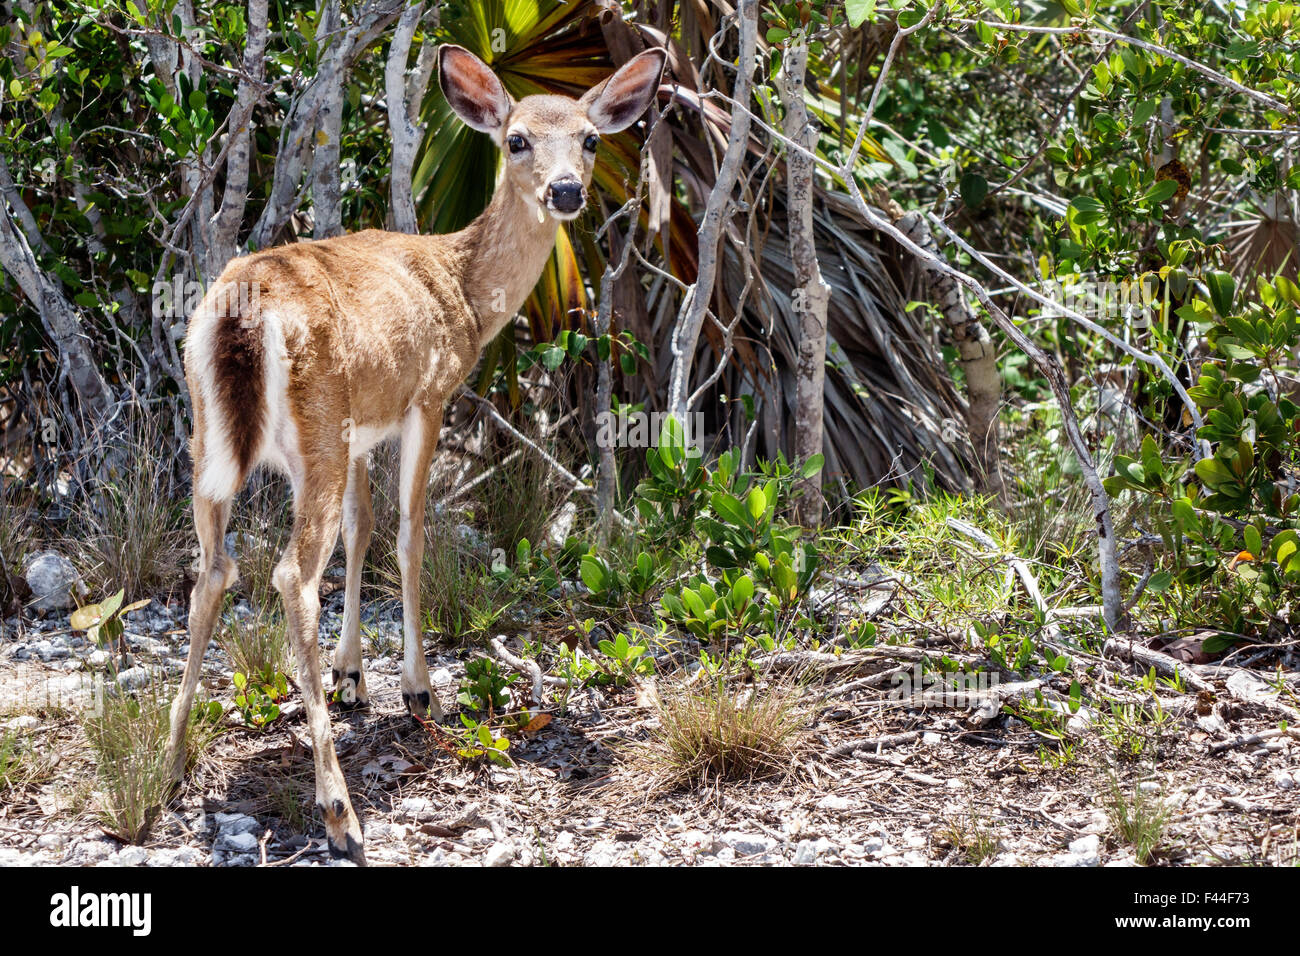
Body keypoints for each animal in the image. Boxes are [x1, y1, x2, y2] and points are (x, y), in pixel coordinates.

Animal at [162, 44, 667, 865]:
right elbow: (407, 534)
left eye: (591, 138)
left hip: (211, 436)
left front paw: (352, 677)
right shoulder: (427, 396)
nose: (565, 190)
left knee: (215, 568)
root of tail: (242, 311)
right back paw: (340, 813)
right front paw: (416, 685)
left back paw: (172, 759)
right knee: (290, 574)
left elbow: (363, 530)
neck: (460, 287)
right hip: (314, 430)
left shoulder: (366, 426)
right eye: (516, 139)